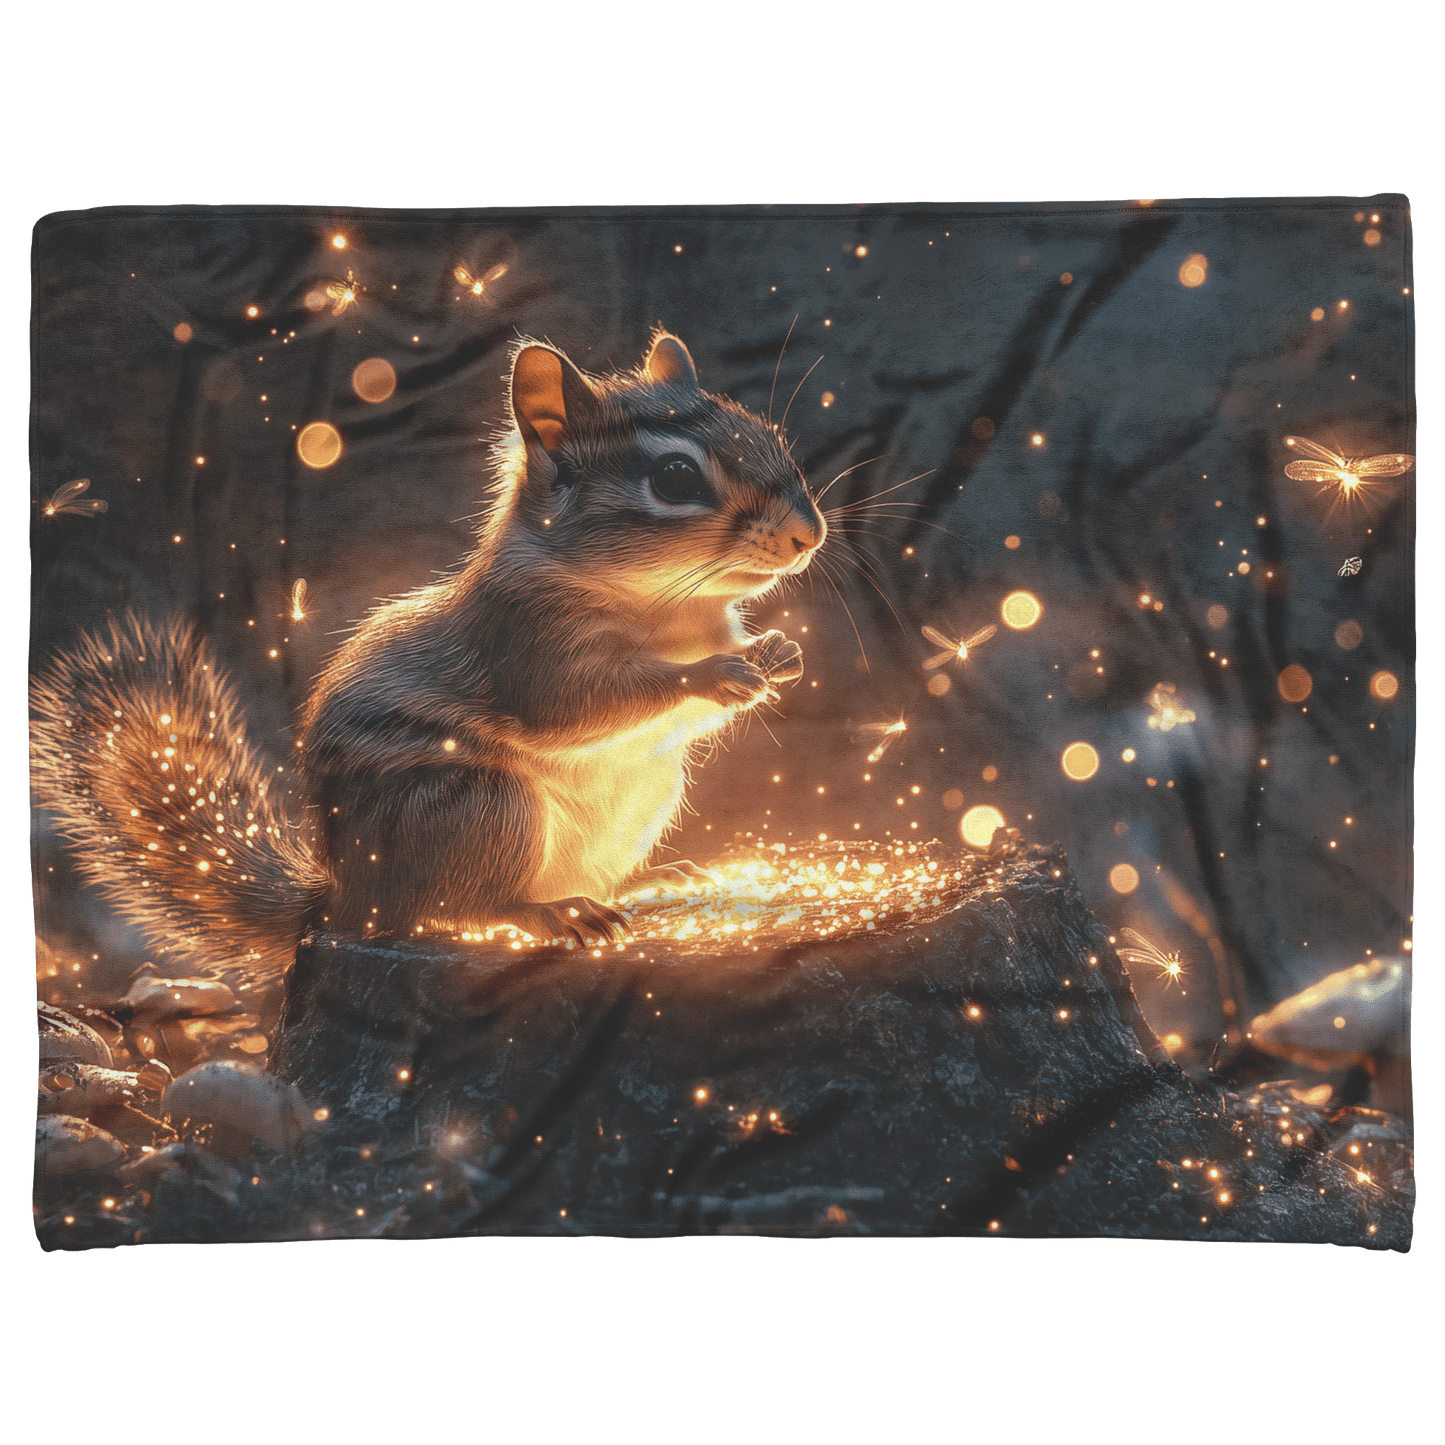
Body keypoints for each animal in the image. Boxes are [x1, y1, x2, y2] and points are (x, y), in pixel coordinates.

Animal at [31, 331, 826, 972]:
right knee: (461, 908)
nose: (808, 534)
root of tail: (344, 899)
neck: (667, 606)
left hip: (642, 794)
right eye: (675, 478)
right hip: (479, 806)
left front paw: (778, 651)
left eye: (766, 431)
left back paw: (642, 882)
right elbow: (582, 706)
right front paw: (714, 672)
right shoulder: (523, 644)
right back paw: (548, 910)